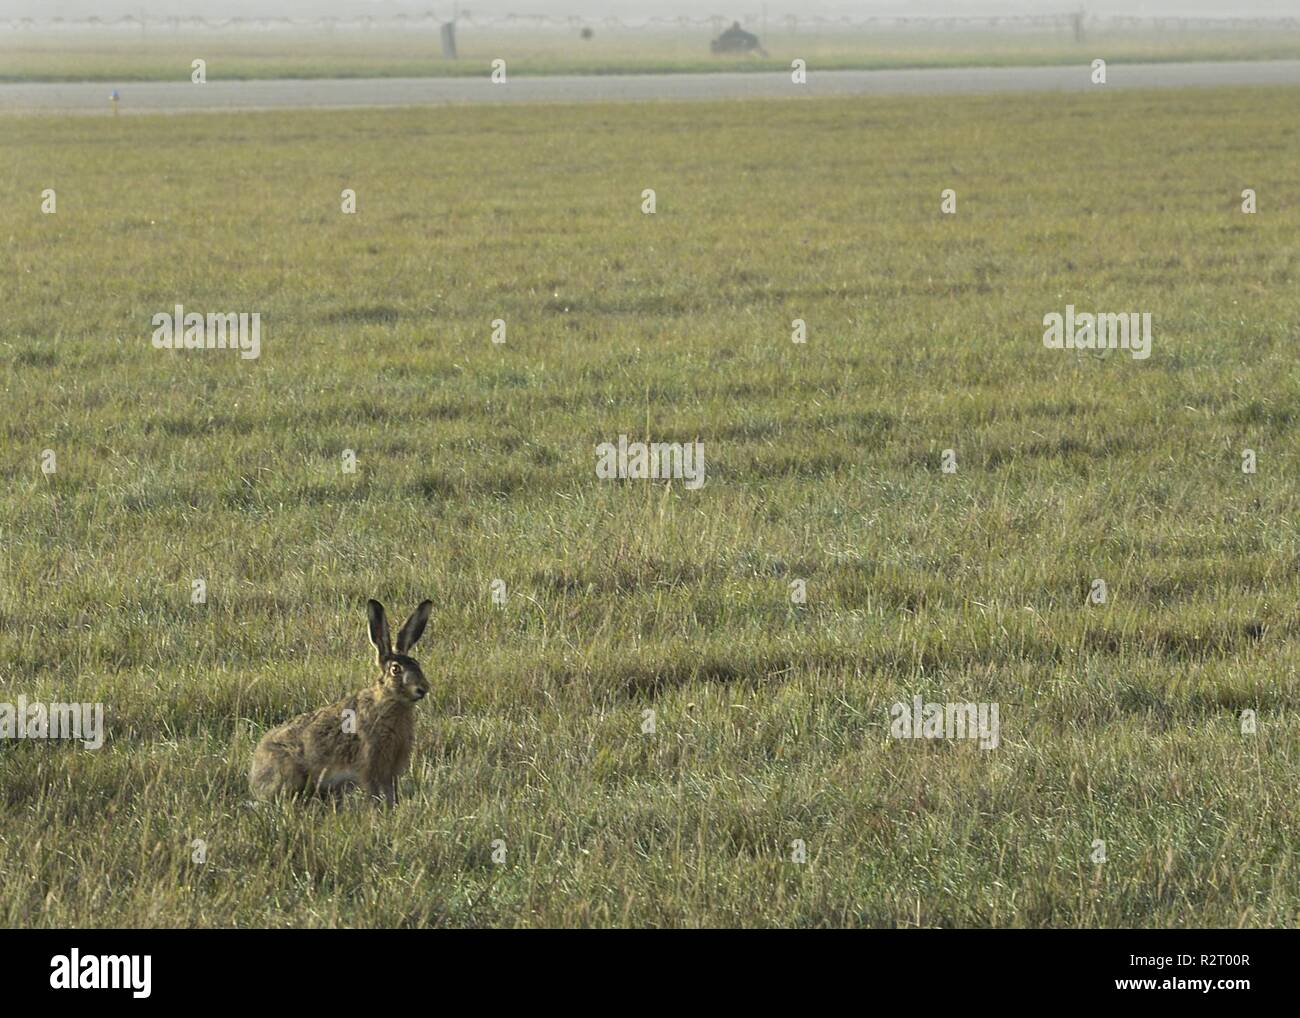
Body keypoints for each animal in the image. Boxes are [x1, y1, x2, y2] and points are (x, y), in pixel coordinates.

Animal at [249, 598, 433, 806]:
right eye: (396, 669)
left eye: (418, 664)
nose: (423, 688)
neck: (389, 700)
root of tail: (254, 774)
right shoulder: (370, 764)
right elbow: (374, 791)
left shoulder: (392, 769)